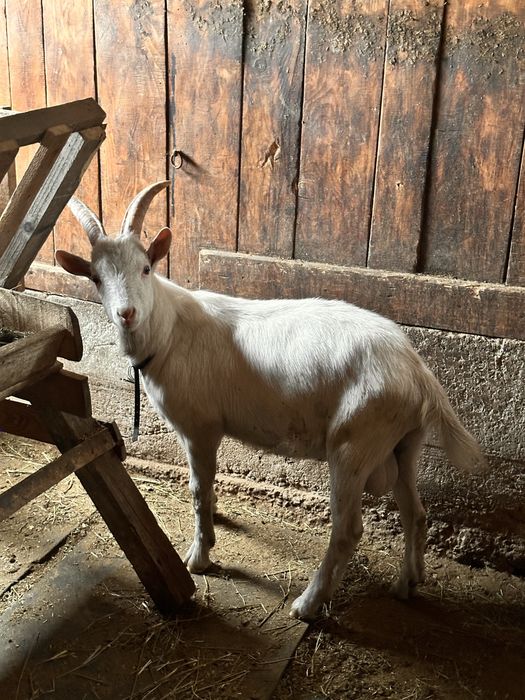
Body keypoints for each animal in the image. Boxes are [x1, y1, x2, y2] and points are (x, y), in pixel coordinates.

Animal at [56, 181, 487, 620]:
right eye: (96, 278)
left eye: (146, 267)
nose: (126, 313)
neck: (169, 330)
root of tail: (418, 373)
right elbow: (208, 486)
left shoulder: (200, 427)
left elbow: (197, 488)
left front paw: (200, 556)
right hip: (404, 443)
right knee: (415, 512)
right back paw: (407, 584)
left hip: (356, 442)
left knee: (348, 529)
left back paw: (308, 605)